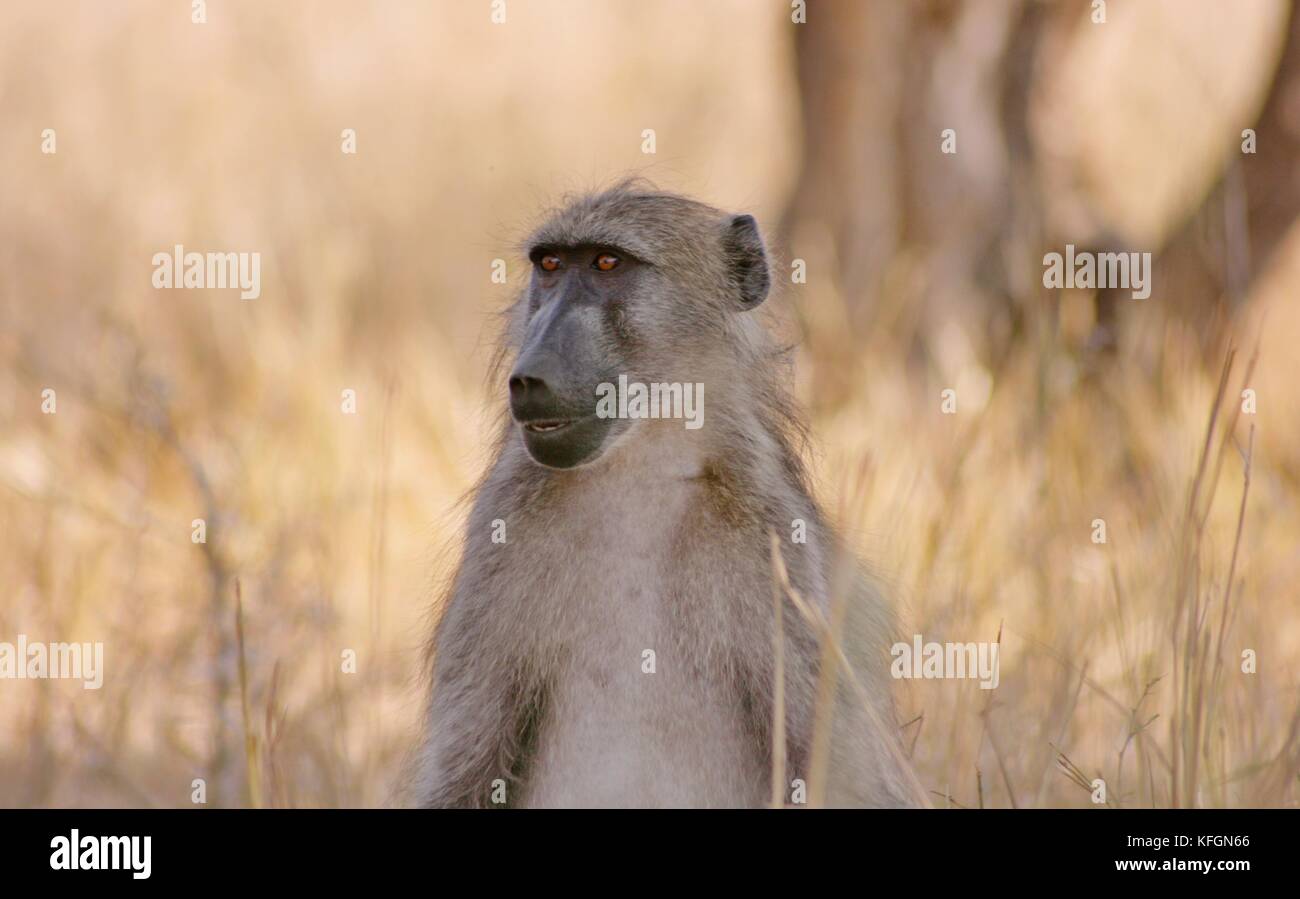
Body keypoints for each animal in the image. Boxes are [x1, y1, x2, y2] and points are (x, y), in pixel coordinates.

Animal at [403, 179, 927, 808]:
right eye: (550, 266)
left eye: (607, 263)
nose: (529, 377)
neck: (640, 469)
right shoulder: (500, 523)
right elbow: (463, 776)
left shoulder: (777, 536)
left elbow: (838, 776)